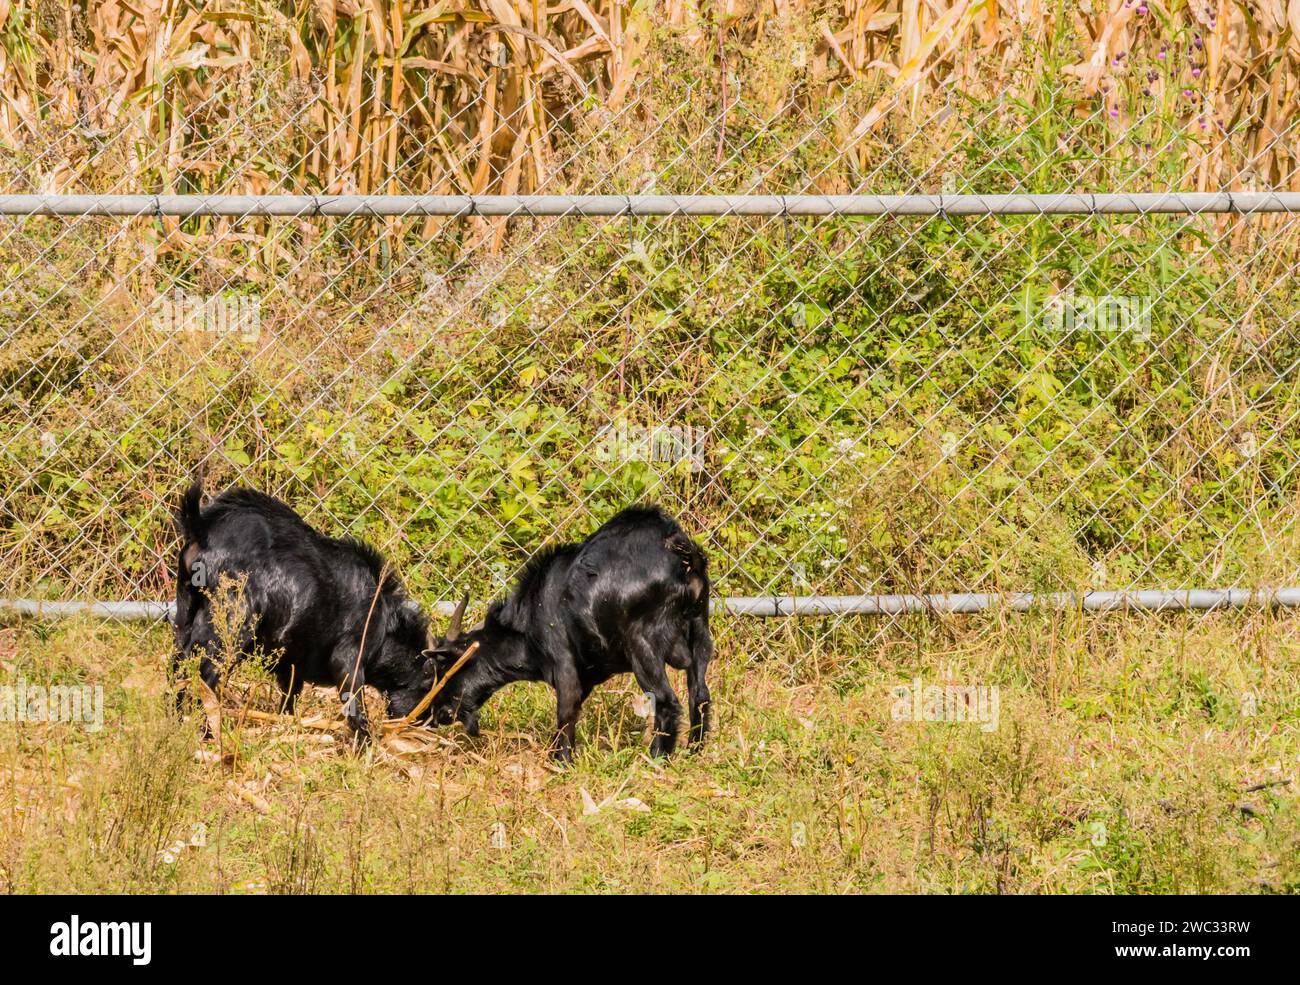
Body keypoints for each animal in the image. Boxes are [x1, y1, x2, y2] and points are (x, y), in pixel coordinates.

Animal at [170, 475, 451, 742]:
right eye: (428, 682)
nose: (430, 721)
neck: (383, 620)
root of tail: (202, 528)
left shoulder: (290, 662)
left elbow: (289, 700)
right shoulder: (349, 655)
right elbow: (354, 704)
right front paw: (365, 745)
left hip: (186, 611)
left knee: (178, 664)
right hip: (231, 621)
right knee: (207, 673)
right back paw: (208, 732)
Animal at [421, 505, 713, 761]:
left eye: (445, 668)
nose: (434, 715)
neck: (529, 623)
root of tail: (678, 552)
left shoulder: (563, 661)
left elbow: (566, 709)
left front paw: (561, 761)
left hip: (642, 645)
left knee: (666, 701)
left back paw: (656, 759)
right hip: (700, 630)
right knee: (699, 695)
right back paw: (693, 751)